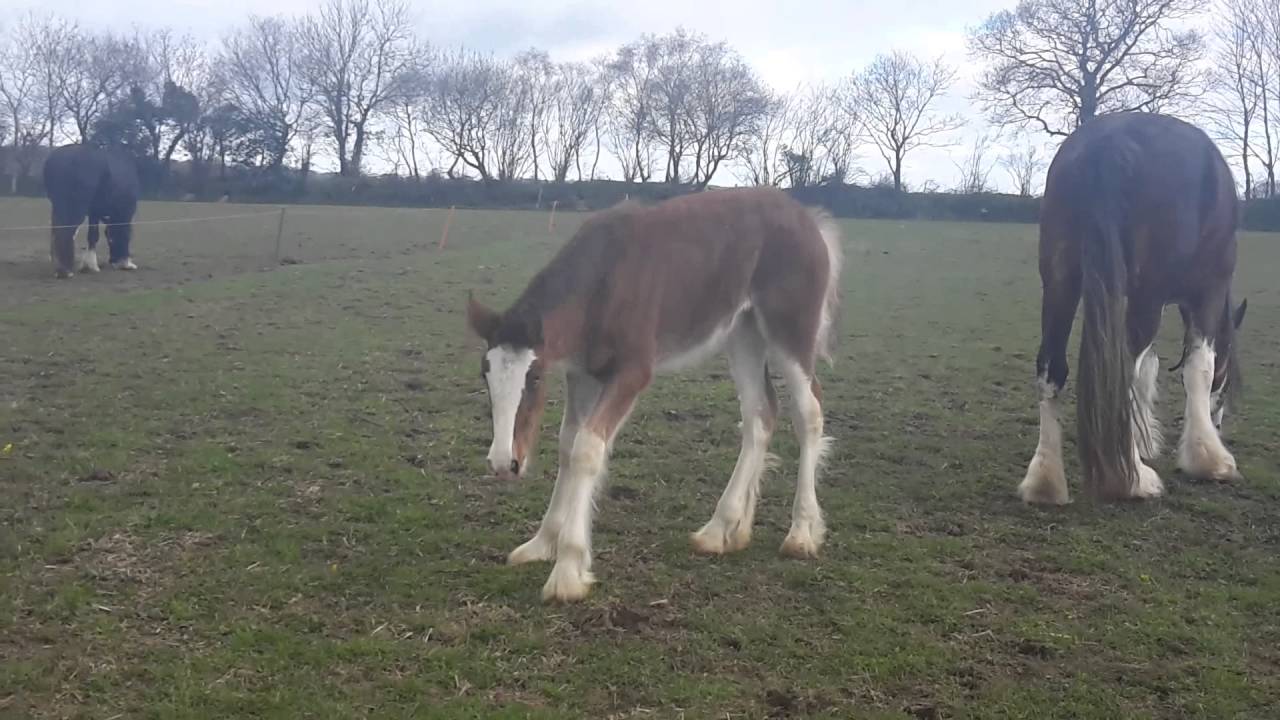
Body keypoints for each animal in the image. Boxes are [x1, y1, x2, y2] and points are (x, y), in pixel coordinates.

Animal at [42, 144, 141, 278]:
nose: (114, 261)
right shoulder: (124, 212)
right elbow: (123, 232)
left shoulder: (94, 213)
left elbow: (93, 236)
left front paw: (89, 265)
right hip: (75, 208)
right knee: (66, 231)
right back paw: (65, 271)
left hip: (59, 205)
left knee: (57, 230)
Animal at [466, 187, 843, 602]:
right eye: (485, 374)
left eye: (534, 377)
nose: (504, 463)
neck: (604, 281)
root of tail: (809, 219)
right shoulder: (582, 374)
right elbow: (568, 446)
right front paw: (542, 543)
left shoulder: (632, 373)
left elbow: (586, 451)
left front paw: (568, 570)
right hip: (742, 332)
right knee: (760, 414)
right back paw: (723, 530)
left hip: (790, 329)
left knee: (808, 414)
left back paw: (801, 534)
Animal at [1019, 112, 1247, 506]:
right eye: (1227, 374)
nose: (1219, 421)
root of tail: (1108, 144)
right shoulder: (1206, 290)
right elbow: (1197, 368)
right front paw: (1208, 458)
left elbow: (1149, 367)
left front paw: (1142, 442)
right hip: (1145, 294)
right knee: (1121, 372)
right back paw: (1132, 481)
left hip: (1061, 280)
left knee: (1052, 368)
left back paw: (1045, 482)